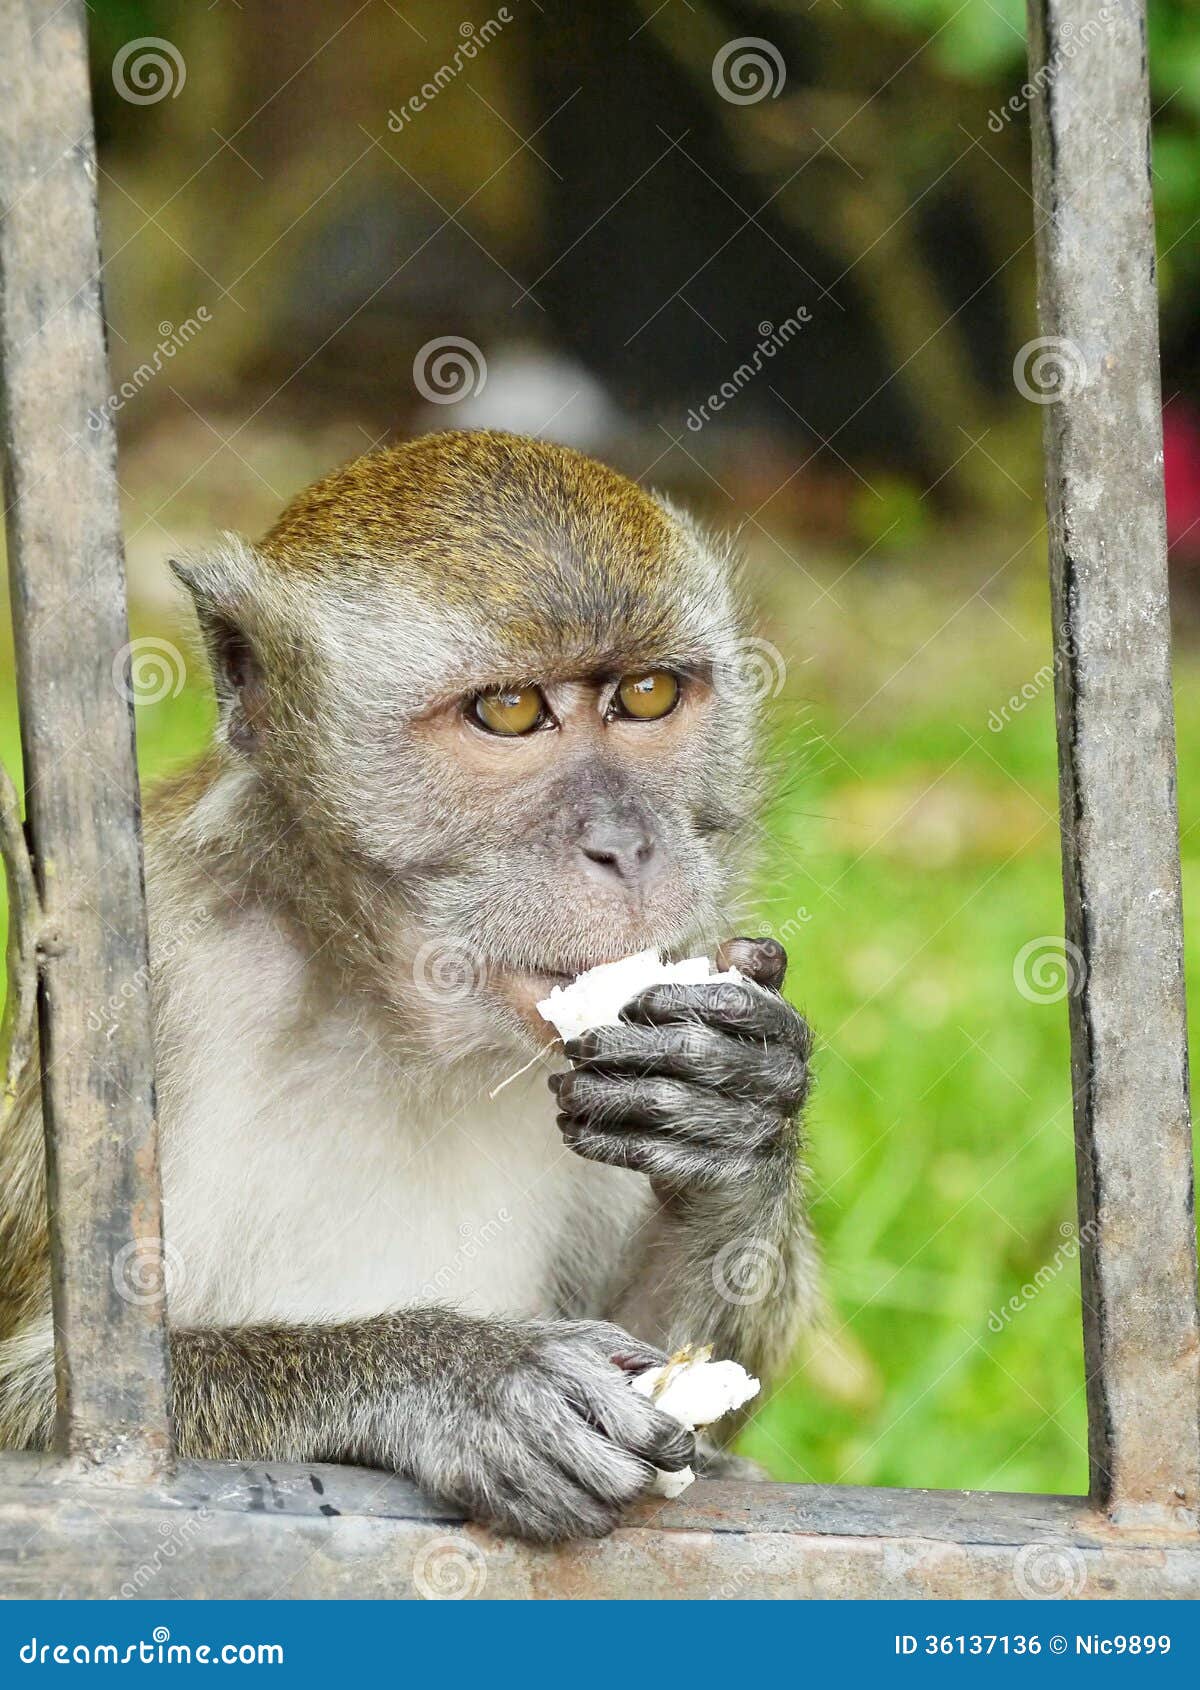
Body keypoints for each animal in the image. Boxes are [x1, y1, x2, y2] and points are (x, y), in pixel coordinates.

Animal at [0, 429, 818, 1542]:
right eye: (510, 712)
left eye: (647, 694)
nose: (625, 845)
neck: (377, 993)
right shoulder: (155, 967)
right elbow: (42, 1405)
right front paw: (464, 1375)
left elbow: (678, 1389)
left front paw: (738, 1116)